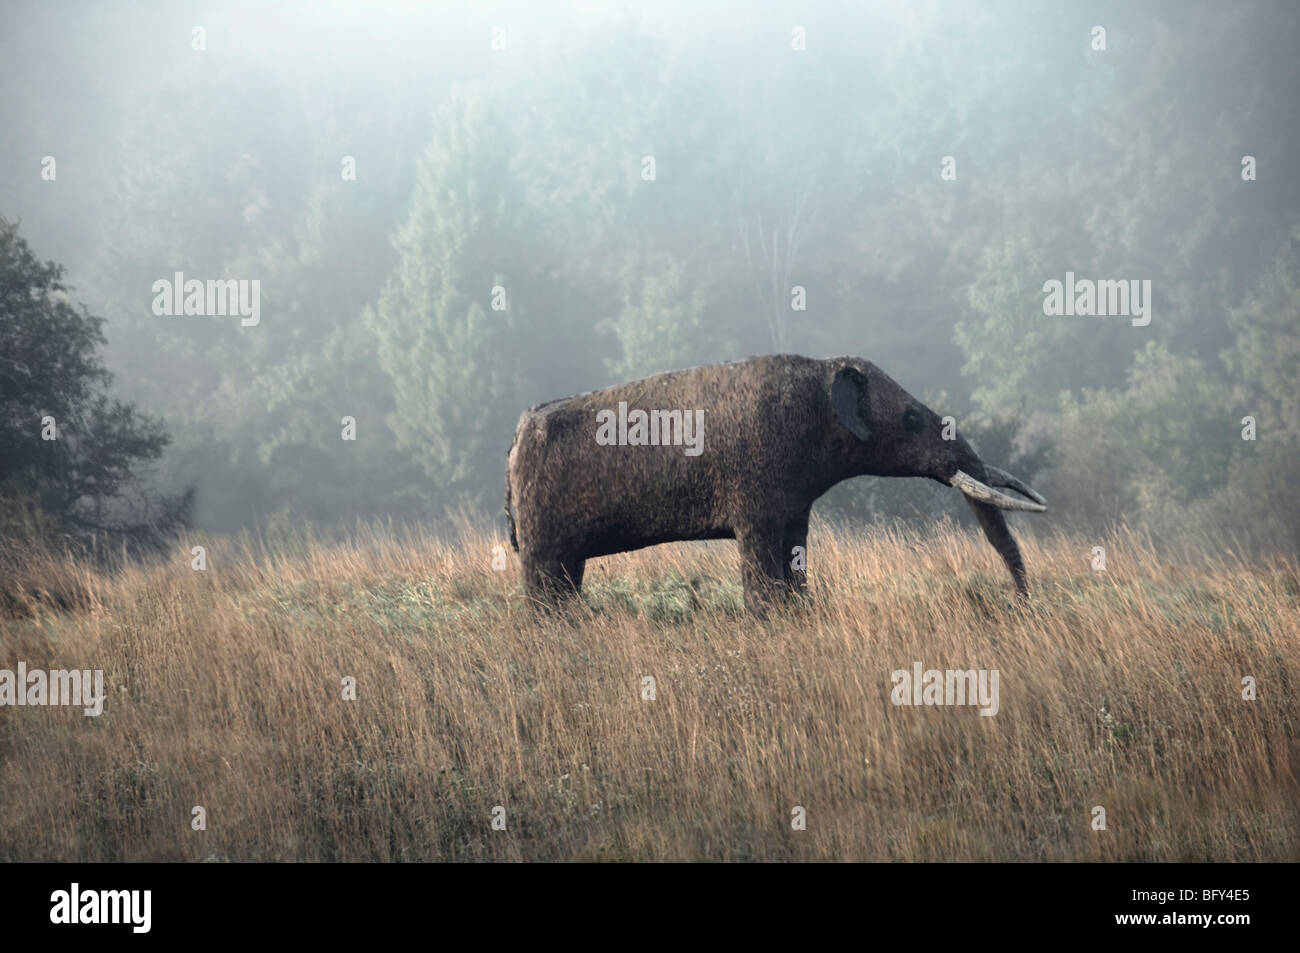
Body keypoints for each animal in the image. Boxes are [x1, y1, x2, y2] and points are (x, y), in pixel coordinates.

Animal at [504, 354, 1046, 614]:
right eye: (911, 419)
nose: (1021, 603)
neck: (819, 381)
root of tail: (512, 443)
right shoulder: (756, 491)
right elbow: (762, 568)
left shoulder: (794, 506)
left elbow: (795, 557)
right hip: (541, 535)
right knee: (544, 590)